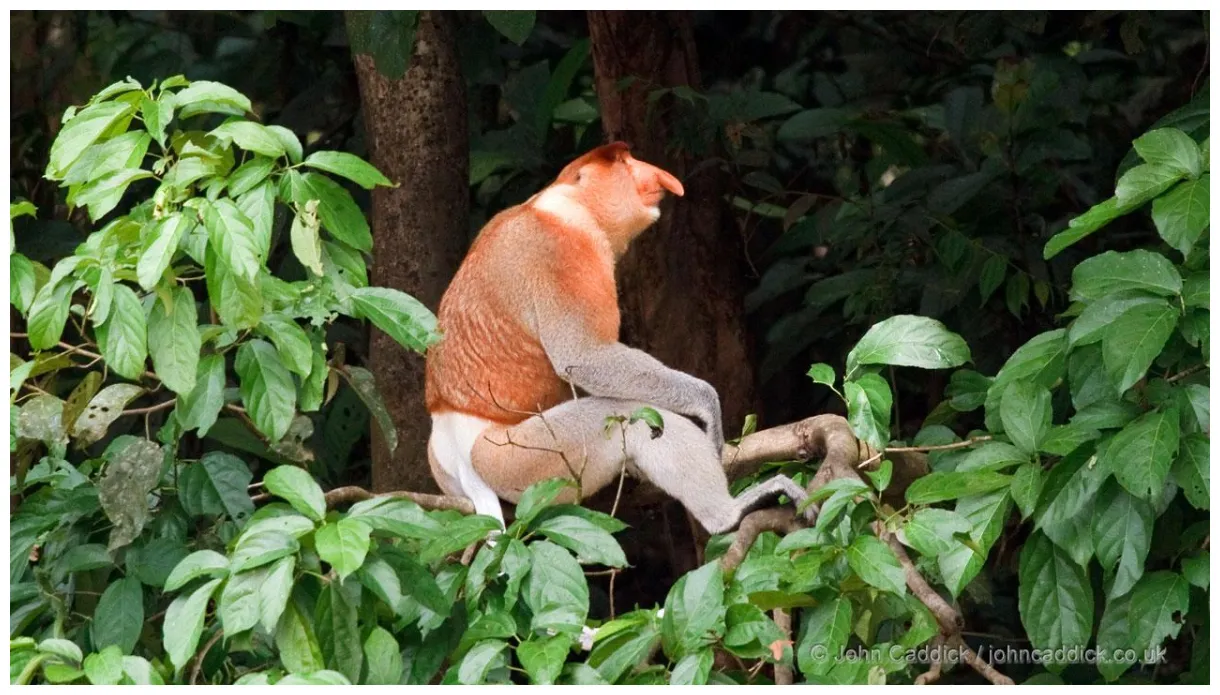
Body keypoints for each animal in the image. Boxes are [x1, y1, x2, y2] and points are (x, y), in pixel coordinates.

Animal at [423, 142, 816, 534]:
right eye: (625, 162)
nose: (657, 175)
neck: (563, 203)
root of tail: (454, 448)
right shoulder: (559, 253)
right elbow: (583, 357)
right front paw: (707, 405)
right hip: (516, 459)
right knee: (628, 415)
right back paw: (729, 515)